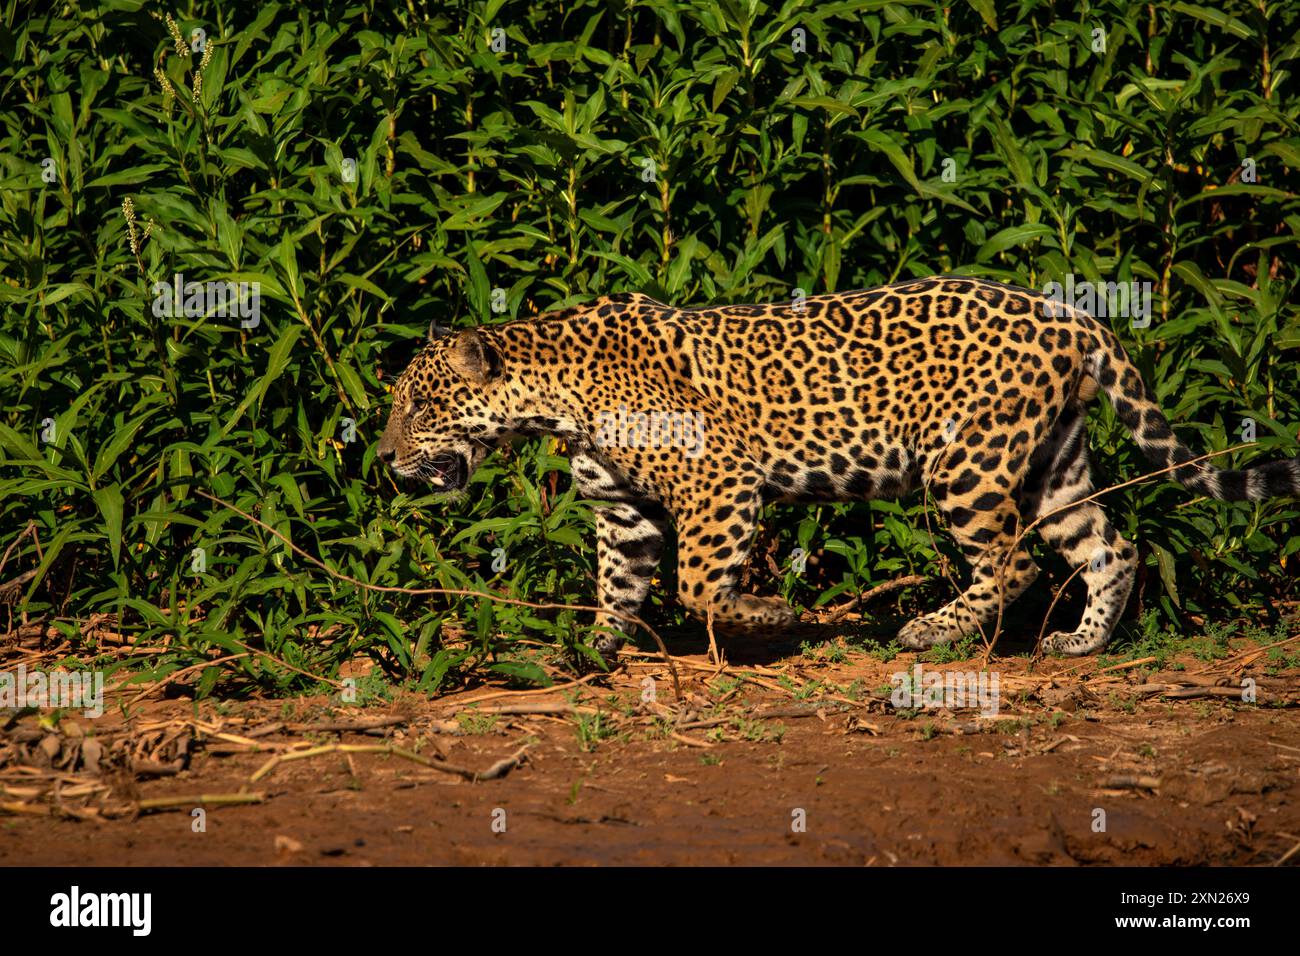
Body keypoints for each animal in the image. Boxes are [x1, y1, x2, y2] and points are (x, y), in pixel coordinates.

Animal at [376, 276, 1300, 665]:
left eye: (418, 407)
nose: (381, 459)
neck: (552, 391)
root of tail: (1073, 316)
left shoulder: (719, 483)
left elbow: (698, 585)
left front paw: (770, 617)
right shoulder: (622, 511)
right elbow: (618, 583)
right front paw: (597, 647)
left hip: (966, 461)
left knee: (1013, 561)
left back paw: (928, 631)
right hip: (1053, 461)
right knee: (1109, 547)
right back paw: (1080, 644)